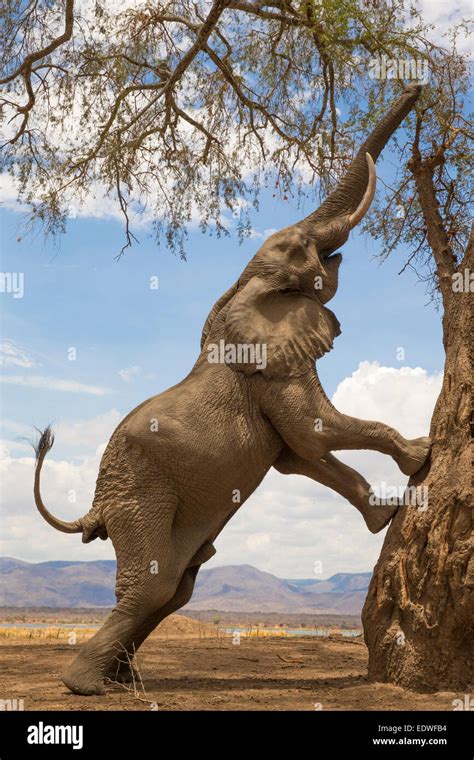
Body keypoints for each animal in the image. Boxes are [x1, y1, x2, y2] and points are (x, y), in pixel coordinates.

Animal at [33, 83, 430, 696]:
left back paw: (125, 680)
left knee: (177, 585)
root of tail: (96, 505)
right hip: (142, 494)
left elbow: (299, 455)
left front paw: (382, 513)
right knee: (153, 585)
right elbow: (313, 433)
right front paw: (421, 455)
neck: (241, 285)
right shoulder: (269, 367)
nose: (415, 88)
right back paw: (90, 687)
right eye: (300, 247)